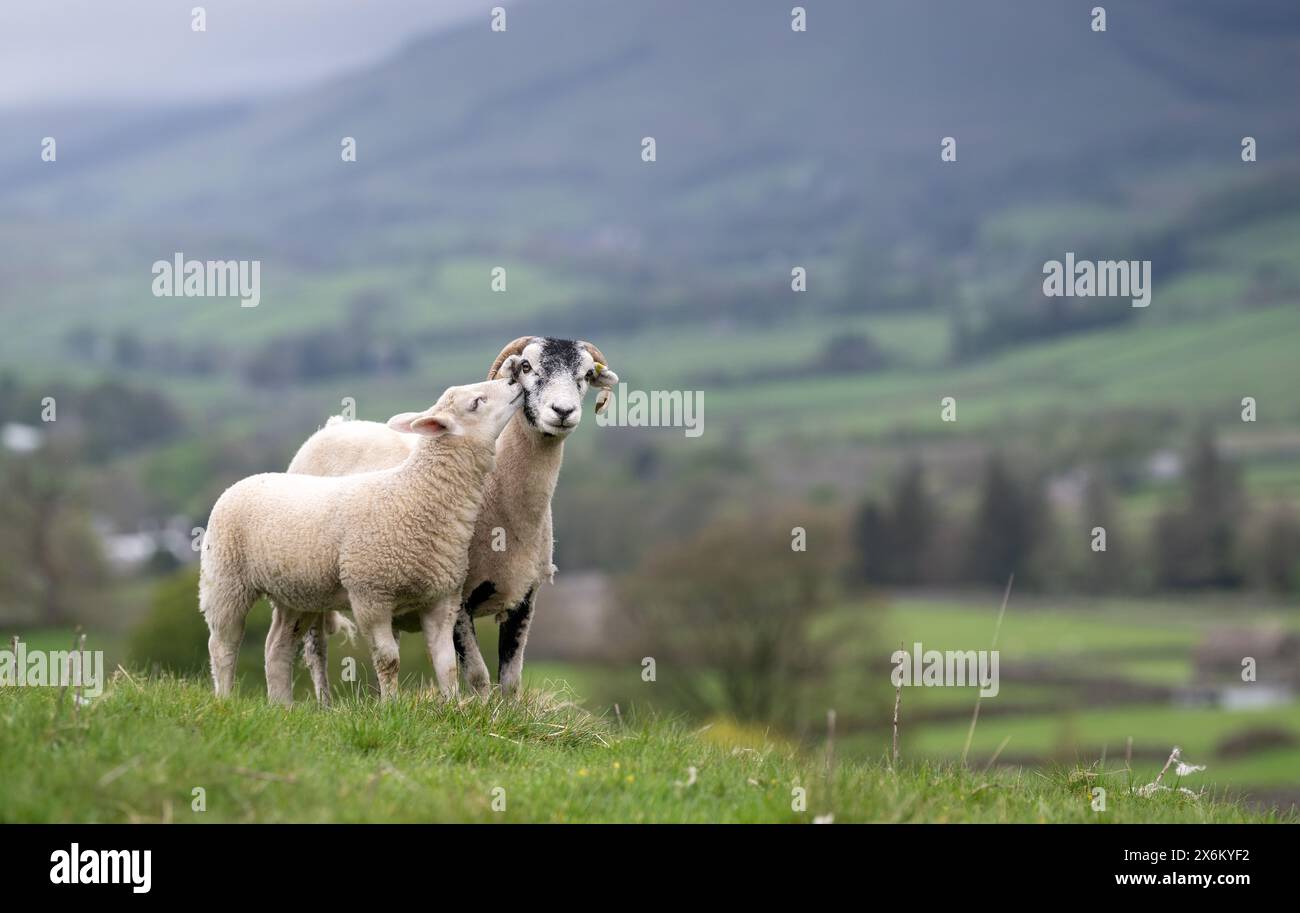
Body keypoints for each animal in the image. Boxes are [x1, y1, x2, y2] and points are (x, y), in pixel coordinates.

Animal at [199, 366, 523, 703]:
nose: (514, 378)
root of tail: (241, 483)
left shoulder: (442, 599)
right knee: (222, 645)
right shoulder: (370, 594)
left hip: (295, 593)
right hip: (226, 581)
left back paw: (282, 706)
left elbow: (445, 662)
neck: (417, 494)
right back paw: (225, 699)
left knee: (278, 647)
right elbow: (388, 659)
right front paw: (391, 705)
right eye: (476, 402)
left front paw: (451, 706)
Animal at [284, 337, 619, 700]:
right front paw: (483, 711)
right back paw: (325, 703)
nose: (563, 412)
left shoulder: (525, 598)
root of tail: (333, 427)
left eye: (587, 374)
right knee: (316, 649)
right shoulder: (458, 600)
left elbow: (511, 680)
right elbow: (478, 675)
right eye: (527, 366)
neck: (504, 505)